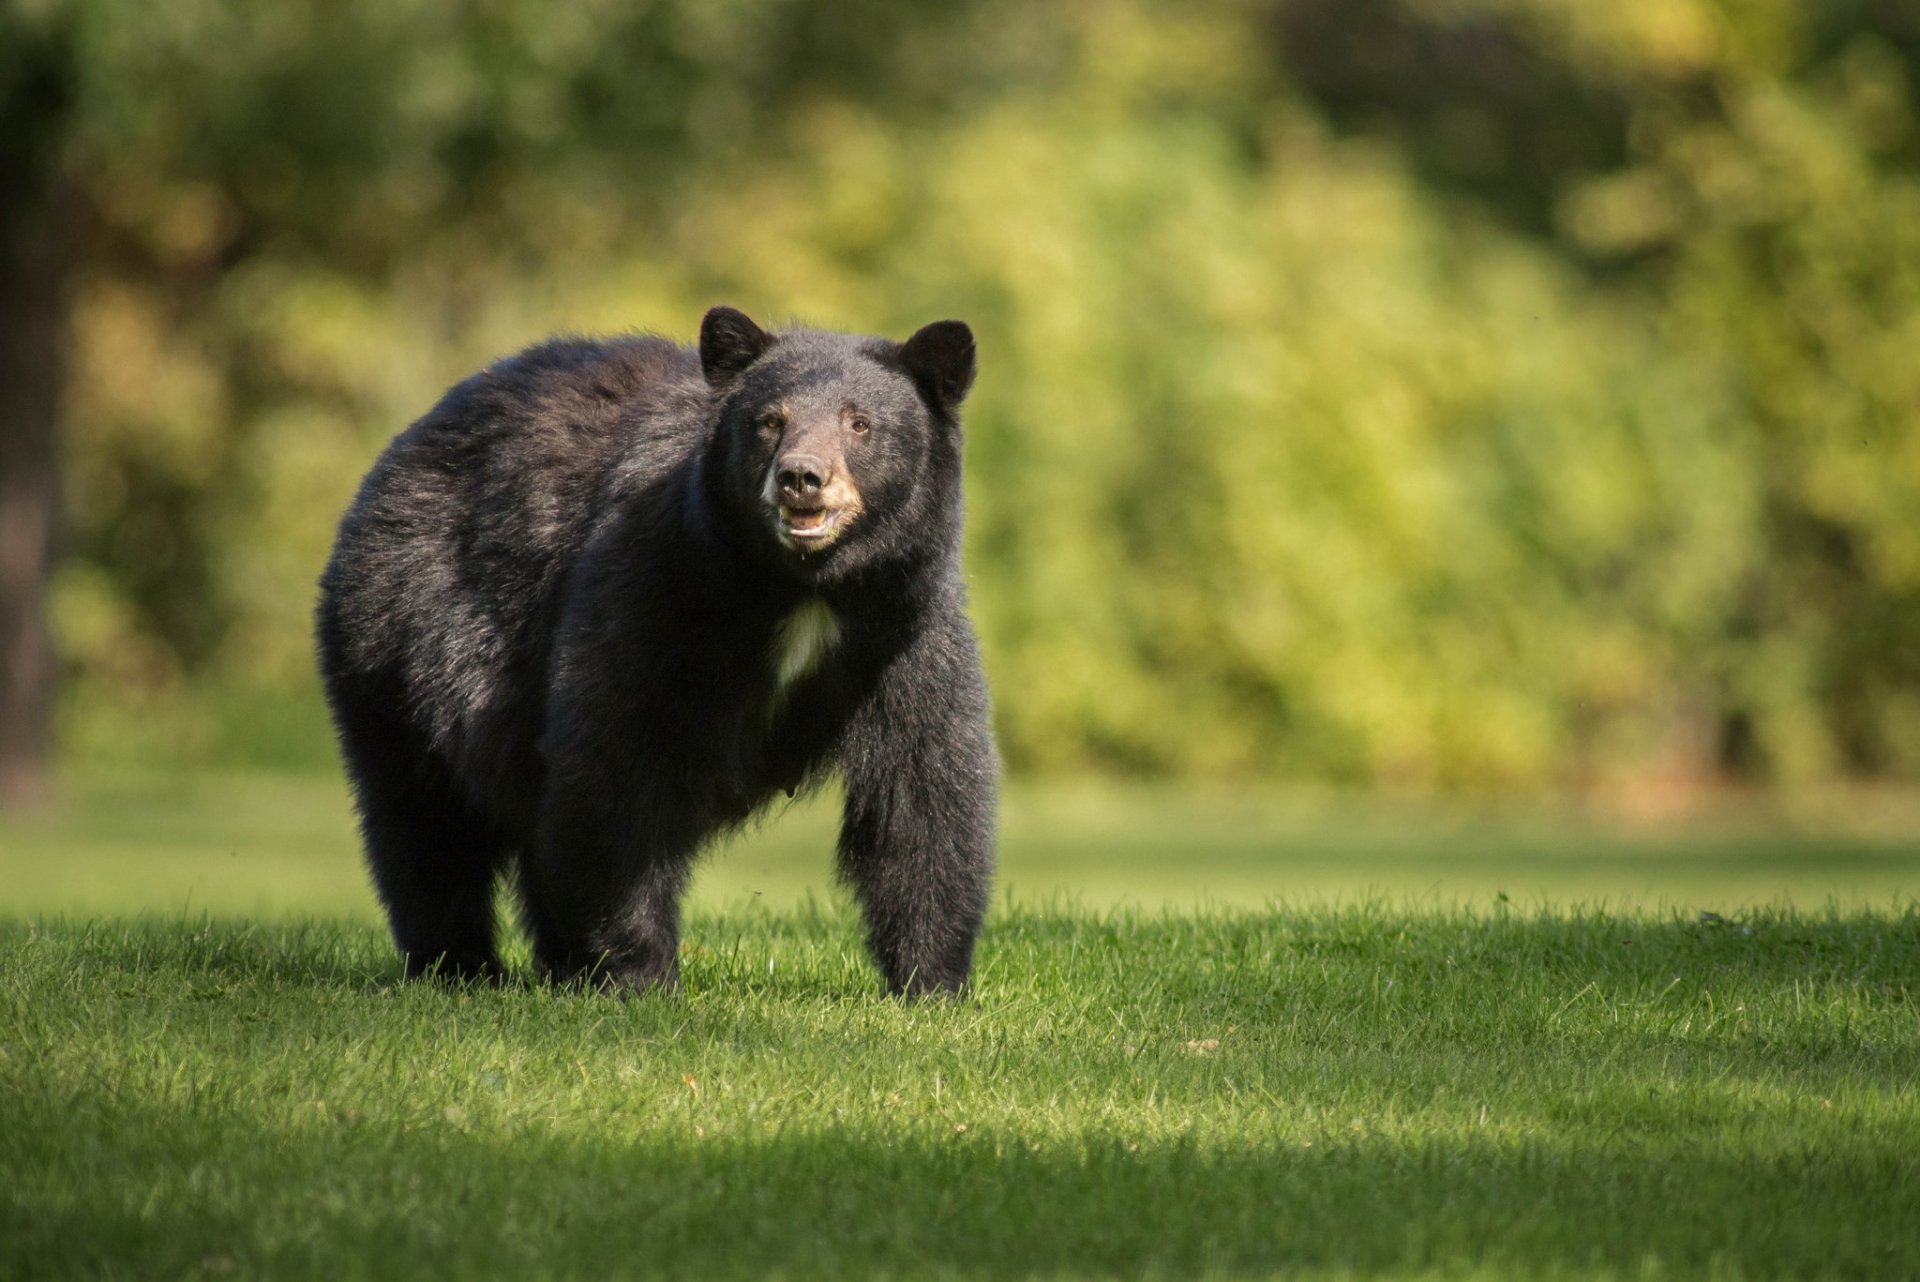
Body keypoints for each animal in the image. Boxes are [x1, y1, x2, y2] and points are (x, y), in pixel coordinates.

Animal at [314, 307, 997, 996]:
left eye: (860, 423)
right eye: (770, 421)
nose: (801, 477)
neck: (802, 589)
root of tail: (406, 445)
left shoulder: (902, 623)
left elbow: (924, 782)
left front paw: (932, 983)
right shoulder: (657, 584)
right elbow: (619, 762)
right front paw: (643, 976)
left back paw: (556, 964)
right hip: (400, 640)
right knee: (428, 824)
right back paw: (459, 965)